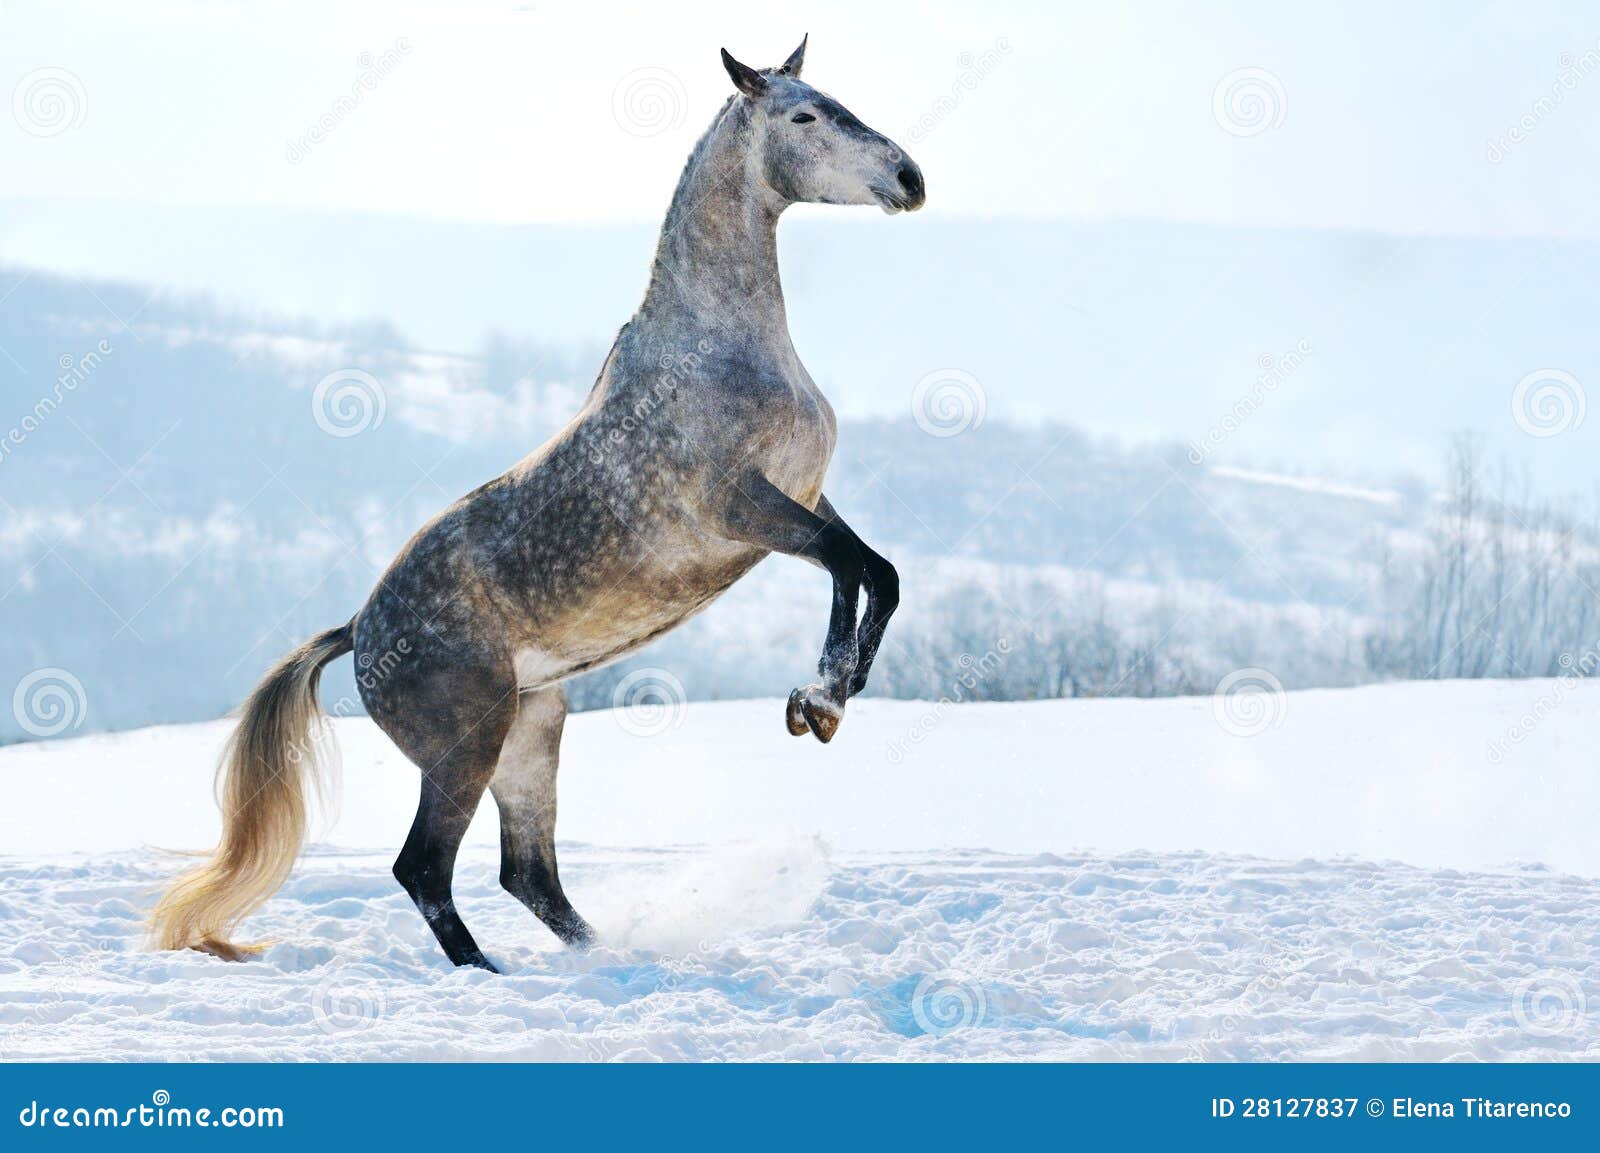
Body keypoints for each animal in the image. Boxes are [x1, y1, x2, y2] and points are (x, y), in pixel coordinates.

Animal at [150, 37, 923, 971]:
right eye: (804, 115)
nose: (910, 177)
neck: (717, 350)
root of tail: (359, 631)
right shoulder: (741, 507)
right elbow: (848, 565)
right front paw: (822, 700)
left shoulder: (805, 494)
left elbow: (876, 570)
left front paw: (828, 698)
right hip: (467, 743)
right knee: (427, 868)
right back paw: (489, 975)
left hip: (532, 730)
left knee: (528, 871)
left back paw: (599, 957)